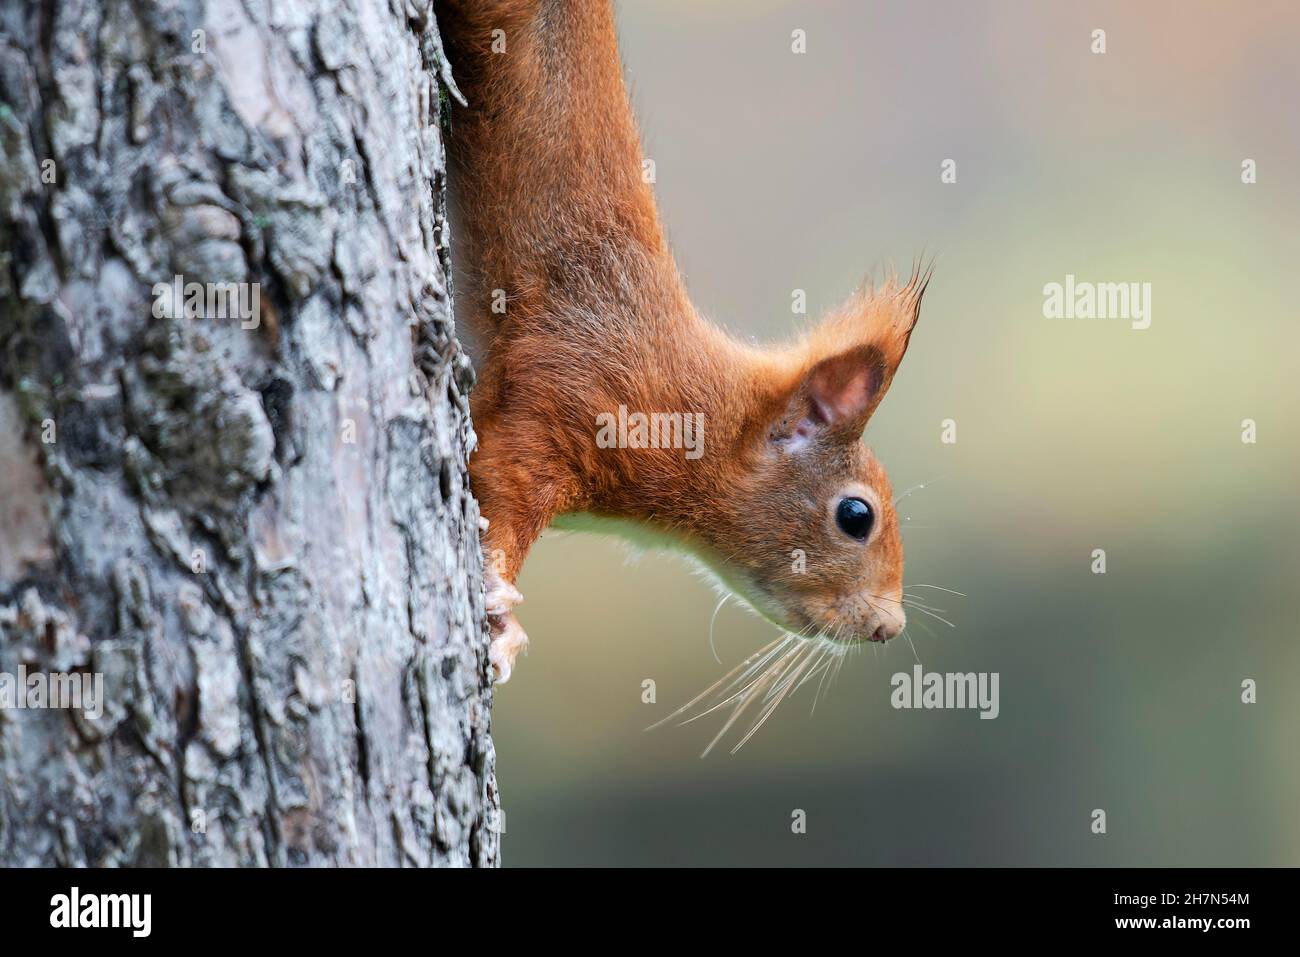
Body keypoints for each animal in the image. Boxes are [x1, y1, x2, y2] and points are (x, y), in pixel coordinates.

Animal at [440, 0, 927, 684]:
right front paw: (499, 604)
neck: (700, 409)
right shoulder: (572, 394)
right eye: (856, 517)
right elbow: (503, 480)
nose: (890, 628)